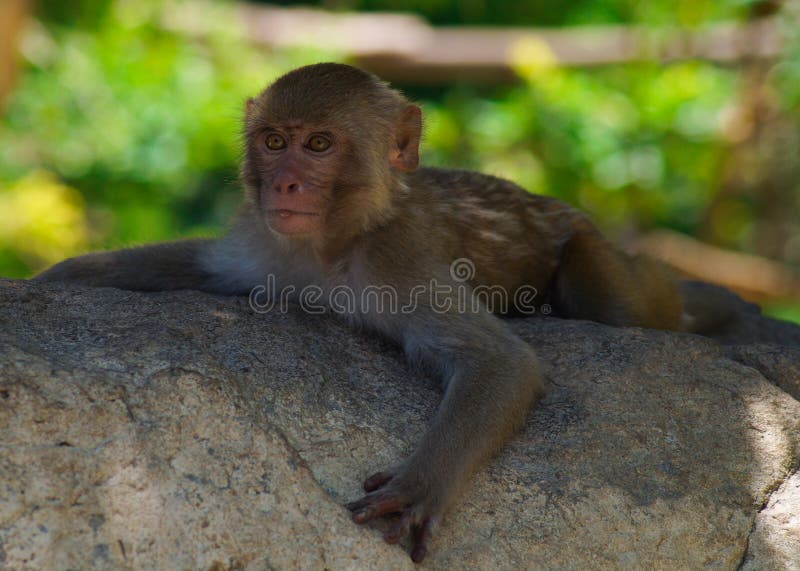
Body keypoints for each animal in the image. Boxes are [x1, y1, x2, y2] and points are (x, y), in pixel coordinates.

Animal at [35, 62, 702, 562]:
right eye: (273, 142)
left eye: (318, 144)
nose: (285, 184)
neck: (331, 243)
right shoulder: (263, 241)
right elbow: (200, 269)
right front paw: (60, 276)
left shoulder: (396, 257)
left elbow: (499, 361)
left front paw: (416, 488)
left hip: (593, 250)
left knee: (616, 297)